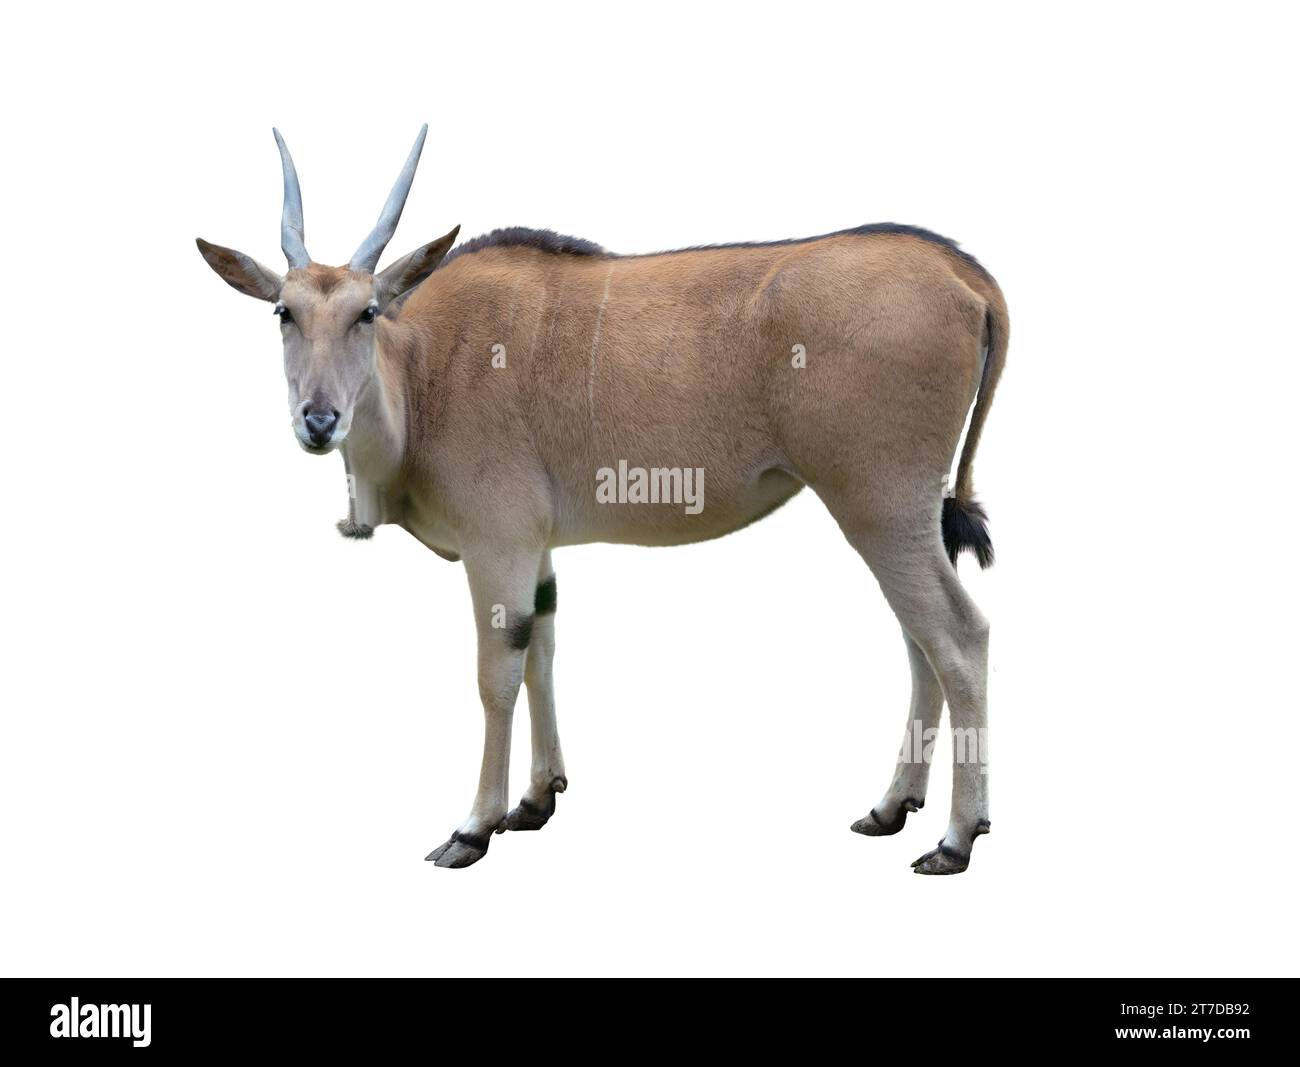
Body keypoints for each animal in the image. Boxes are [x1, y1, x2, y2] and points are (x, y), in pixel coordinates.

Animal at [197, 126, 1008, 874]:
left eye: (366, 312)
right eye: (284, 312)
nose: (319, 419)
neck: (425, 368)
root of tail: (965, 275)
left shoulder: (497, 543)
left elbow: (497, 673)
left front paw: (474, 826)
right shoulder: (537, 550)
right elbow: (544, 652)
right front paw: (535, 799)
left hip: (879, 506)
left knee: (958, 638)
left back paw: (955, 836)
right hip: (896, 518)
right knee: (919, 643)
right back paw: (892, 806)